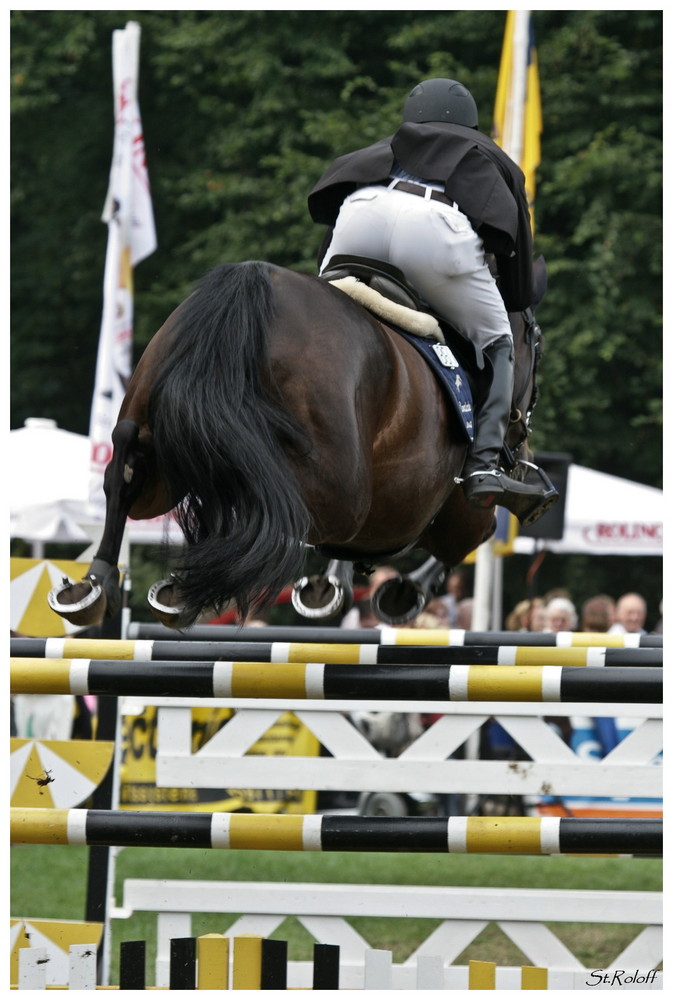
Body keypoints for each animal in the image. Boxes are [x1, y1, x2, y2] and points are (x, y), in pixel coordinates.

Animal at [48, 254, 544, 628]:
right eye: (535, 342)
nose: (521, 446)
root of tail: (250, 285)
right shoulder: (445, 512)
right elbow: (474, 532)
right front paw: (400, 590)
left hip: (160, 429)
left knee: (126, 471)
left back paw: (98, 586)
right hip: (342, 492)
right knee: (269, 504)